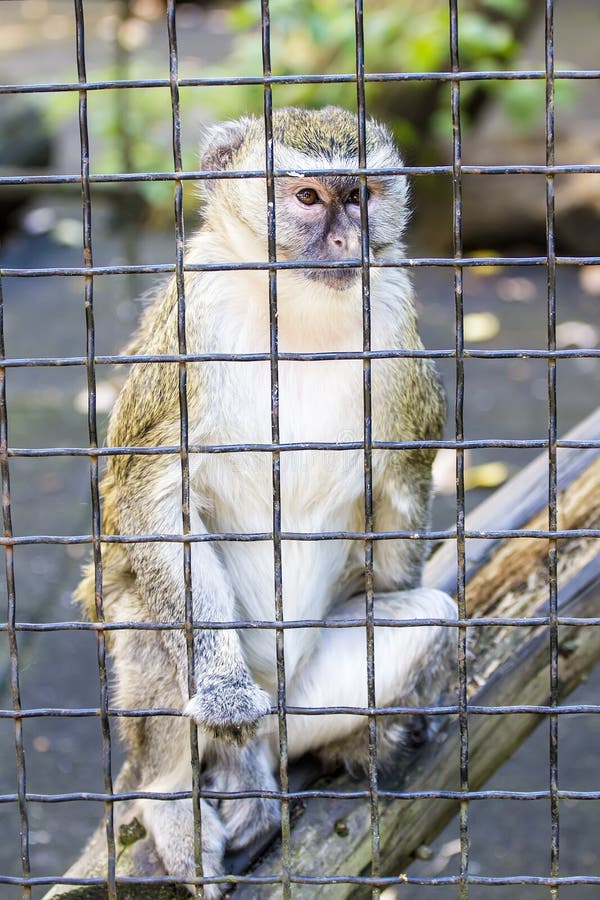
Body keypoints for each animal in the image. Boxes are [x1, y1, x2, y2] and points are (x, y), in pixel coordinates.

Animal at [54, 107, 457, 897]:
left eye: (359, 196)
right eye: (306, 197)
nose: (346, 243)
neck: (295, 317)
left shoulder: (394, 326)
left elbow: (401, 490)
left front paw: (403, 719)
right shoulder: (194, 316)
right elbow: (152, 494)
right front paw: (220, 688)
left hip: (303, 700)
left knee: (429, 615)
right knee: (140, 604)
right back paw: (170, 791)